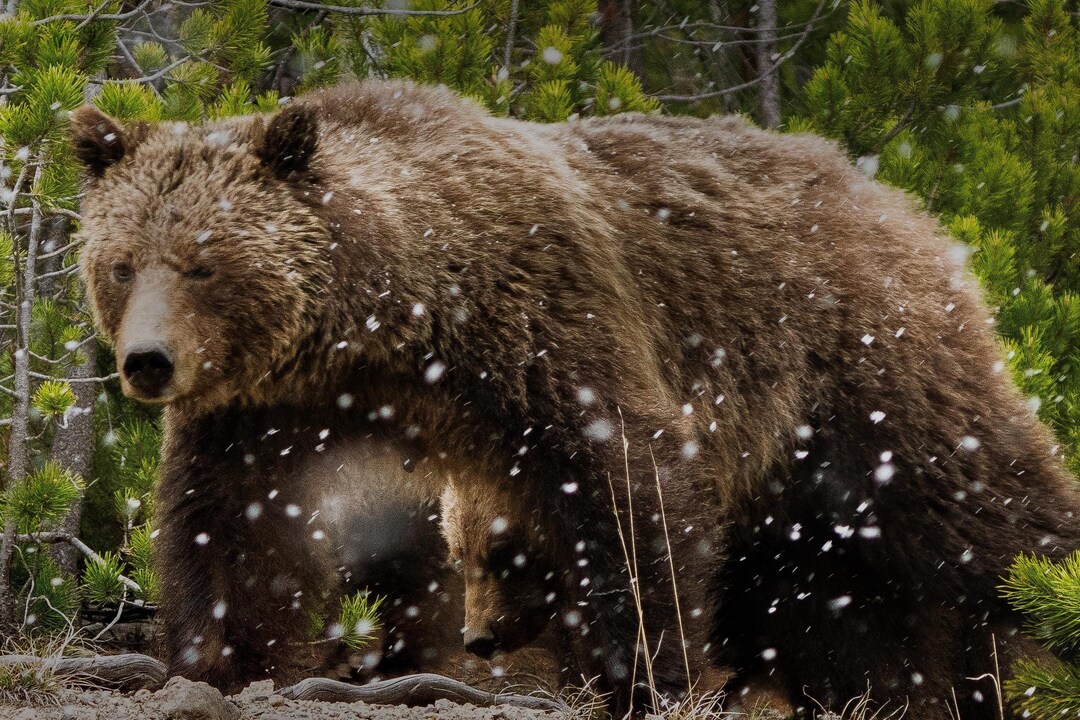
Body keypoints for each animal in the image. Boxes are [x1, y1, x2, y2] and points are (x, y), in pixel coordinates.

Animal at [69, 79, 1080, 717]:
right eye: (121, 263)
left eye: (203, 262)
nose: (148, 362)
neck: (386, 320)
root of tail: (898, 201)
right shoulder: (272, 407)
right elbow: (235, 524)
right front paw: (221, 660)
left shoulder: (535, 322)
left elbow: (624, 474)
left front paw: (642, 674)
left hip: (864, 370)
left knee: (983, 500)